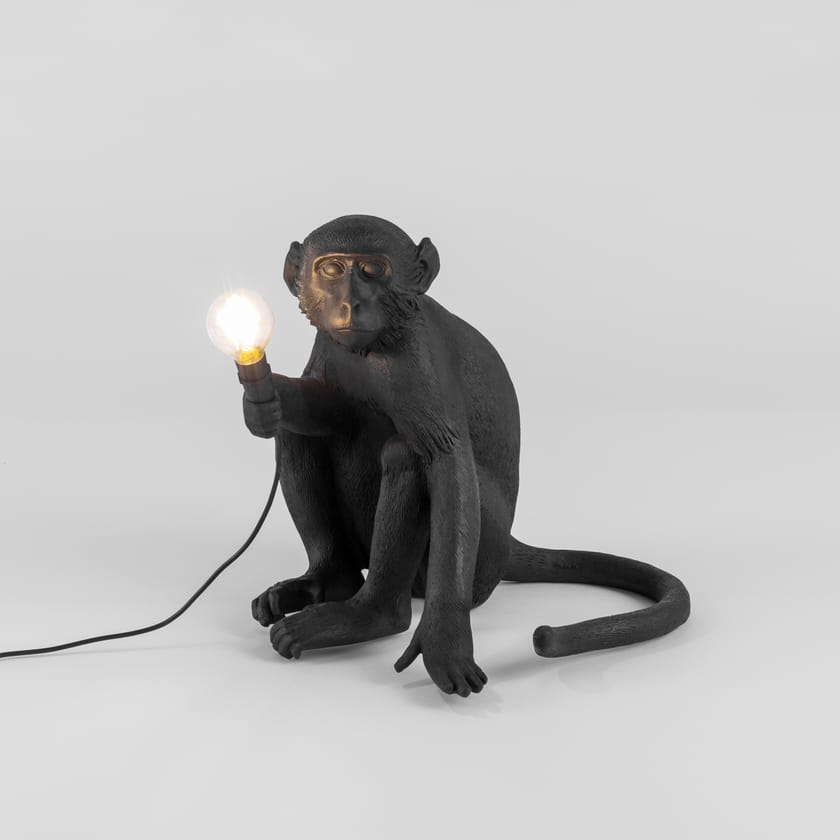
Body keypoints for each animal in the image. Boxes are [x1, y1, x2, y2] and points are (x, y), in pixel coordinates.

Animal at [244, 215, 690, 697]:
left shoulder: (418, 359)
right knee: (299, 437)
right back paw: (329, 580)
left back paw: (373, 614)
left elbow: (445, 461)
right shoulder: (330, 345)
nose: (349, 303)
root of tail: (508, 544)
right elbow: (323, 409)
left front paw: (445, 637)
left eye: (372, 270)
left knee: (406, 455)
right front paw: (269, 399)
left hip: (482, 555)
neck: (377, 343)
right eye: (331, 269)